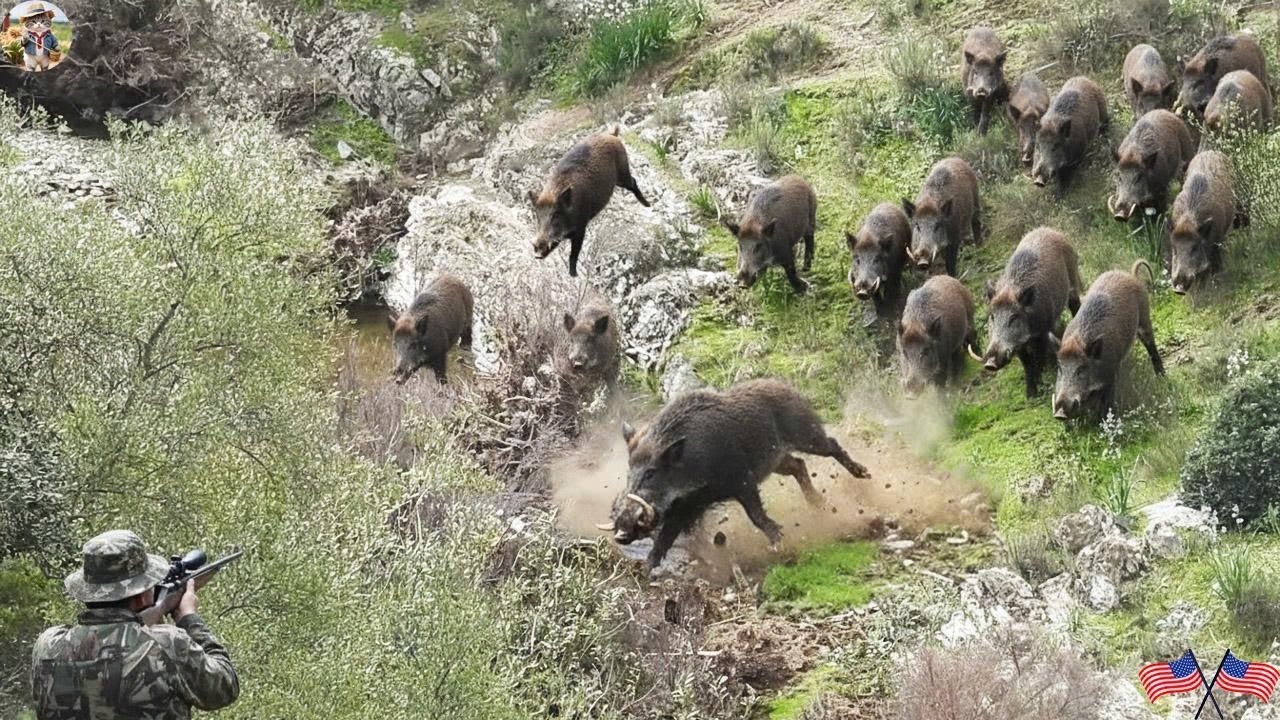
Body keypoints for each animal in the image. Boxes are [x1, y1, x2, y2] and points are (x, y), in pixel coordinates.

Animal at [528, 126, 651, 277]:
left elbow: (574, 253)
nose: (538, 252)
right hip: (618, 180)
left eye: (556, 215)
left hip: (623, 172)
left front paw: (574, 275)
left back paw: (648, 205)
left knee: (633, 181)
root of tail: (612, 135)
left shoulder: (581, 227)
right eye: (537, 217)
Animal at [596, 378, 871, 568]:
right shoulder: (688, 505)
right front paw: (648, 566)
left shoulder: (742, 480)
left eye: (651, 472)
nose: (621, 532)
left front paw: (778, 544)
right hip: (778, 461)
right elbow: (666, 535)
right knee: (799, 465)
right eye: (629, 469)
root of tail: (789, 387)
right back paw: (819, 503)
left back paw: (864, 474)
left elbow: (756, 515)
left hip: (807, 435)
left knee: (831, 445)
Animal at [981, 228, 1083, 397]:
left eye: (1014, 317)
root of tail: (1050, 230)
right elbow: (1027, 364)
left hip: (1073, 280)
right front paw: (1030, 395)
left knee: (1076, 305)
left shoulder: (1042, 331)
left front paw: (1039, 387)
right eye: (992, 316)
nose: (990, 363)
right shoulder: (1017, 345)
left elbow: (1038, 359)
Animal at [1051, 260, 1165, 422]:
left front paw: (1105, 420)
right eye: (1060, 368)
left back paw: (1162, 377)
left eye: (1081, 370)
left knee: (1151, 345)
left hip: (1145, 317)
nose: (1060, 413)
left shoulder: (1111, 372)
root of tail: (1130, 275)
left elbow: (1108, 400)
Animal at [1169, 150, 1234, 294]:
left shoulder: (1216, 241)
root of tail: (1210, 151)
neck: (1188, 221)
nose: (1179, 289)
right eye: (1174, 249)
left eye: (1195, 248)